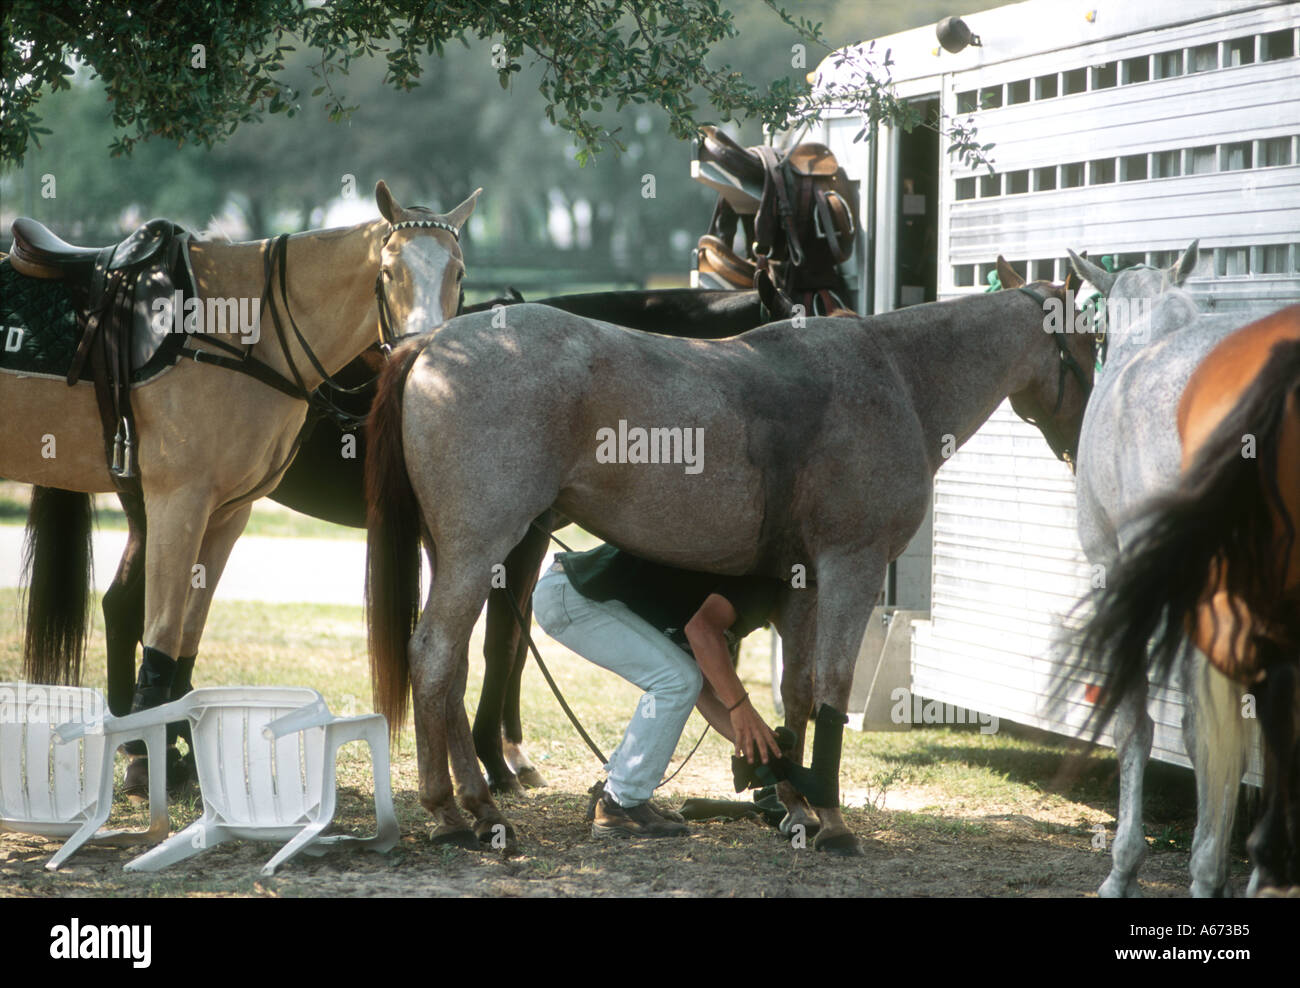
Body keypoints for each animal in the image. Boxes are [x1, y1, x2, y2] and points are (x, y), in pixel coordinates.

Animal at [7, 182, 476, 757]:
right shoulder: (179, 502)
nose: (421, 354)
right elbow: (163, 636)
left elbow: (186, 639)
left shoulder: (228, 513)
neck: (240, 331)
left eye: (459, 273)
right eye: (387, 272)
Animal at [362, 274, 1095, 854]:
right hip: (479, 549)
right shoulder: (852, 568)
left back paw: (472, 803)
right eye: (1091, 340)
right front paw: (832, 821)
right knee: (435, 656)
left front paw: (796, 804)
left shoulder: (804, 584)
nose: (1084, 440)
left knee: (450, 667)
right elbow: (832, 689)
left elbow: (797, 691)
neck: (897, 378)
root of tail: (434, 342)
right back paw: (460, 812)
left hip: (458, 554)